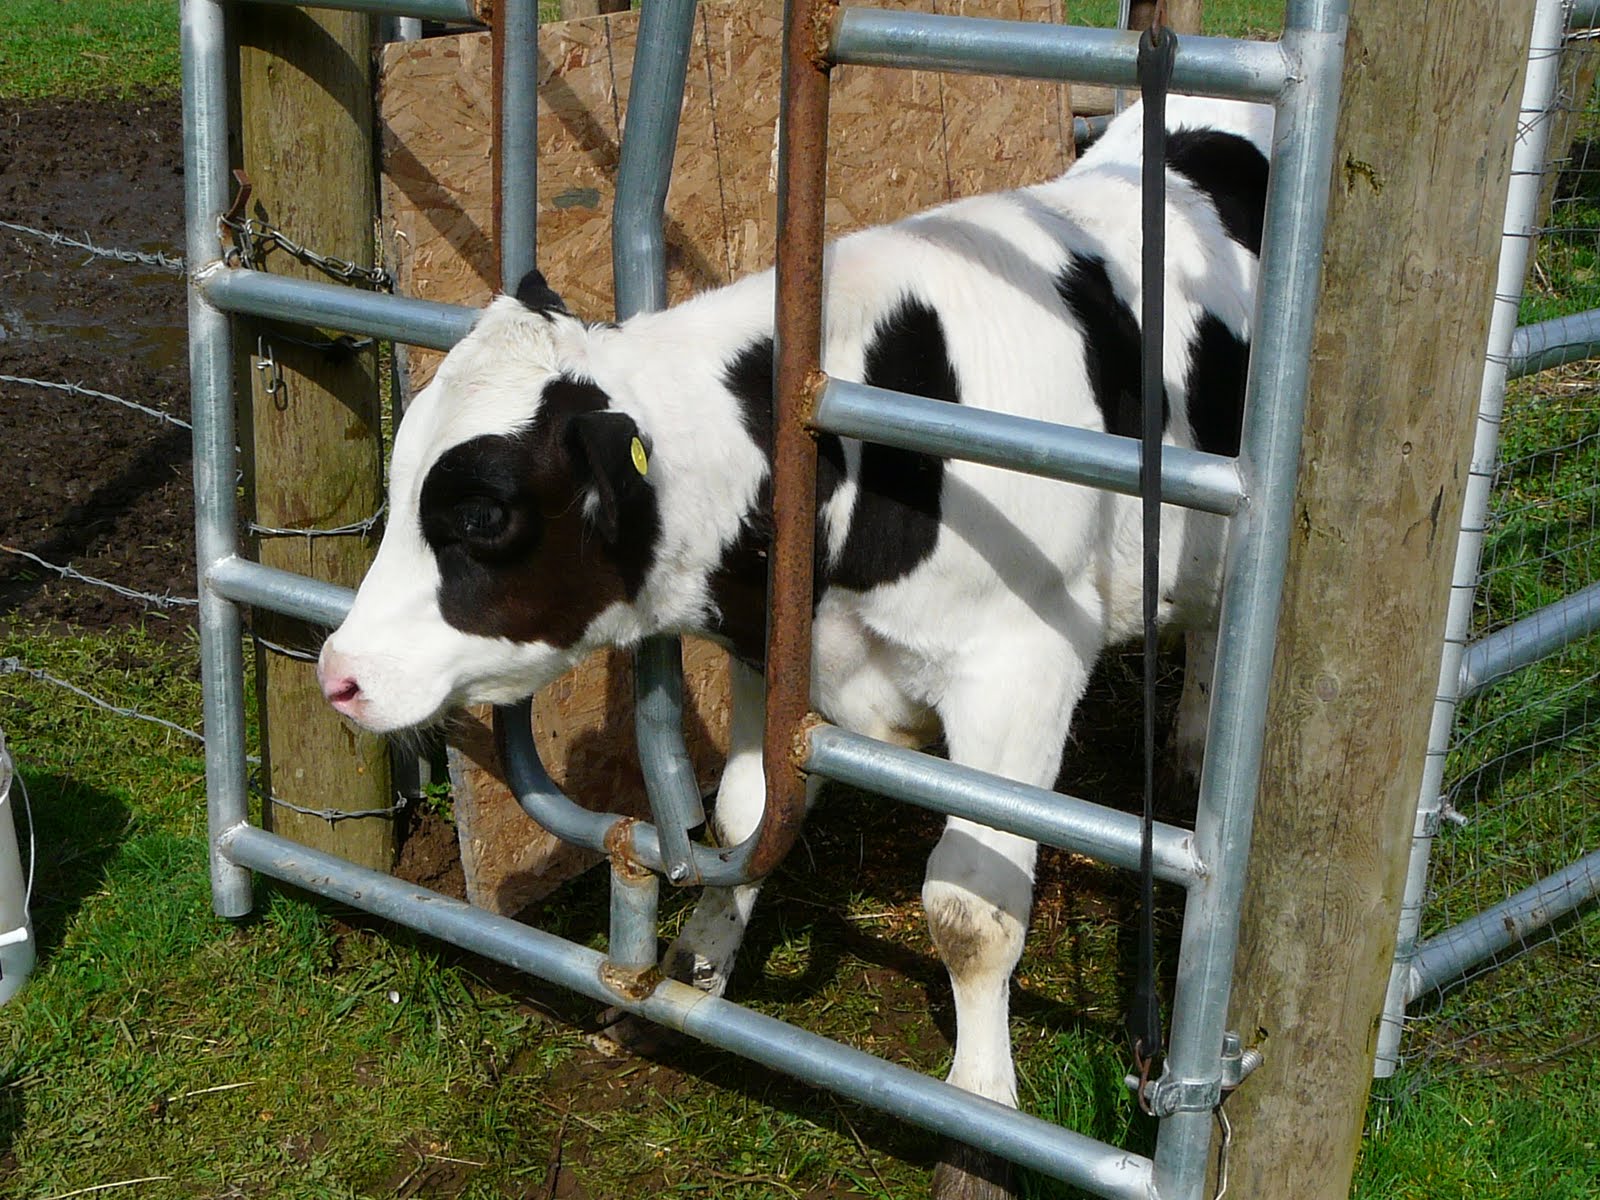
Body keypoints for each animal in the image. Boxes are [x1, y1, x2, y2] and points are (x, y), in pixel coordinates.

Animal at [318, 95, 1272, 1199]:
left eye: (483, 515)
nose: (337, 675)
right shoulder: (773, 659)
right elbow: (742, 819)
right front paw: (694, 967)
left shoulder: (1019, 668)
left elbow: (970, 910)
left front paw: (979, 1113)